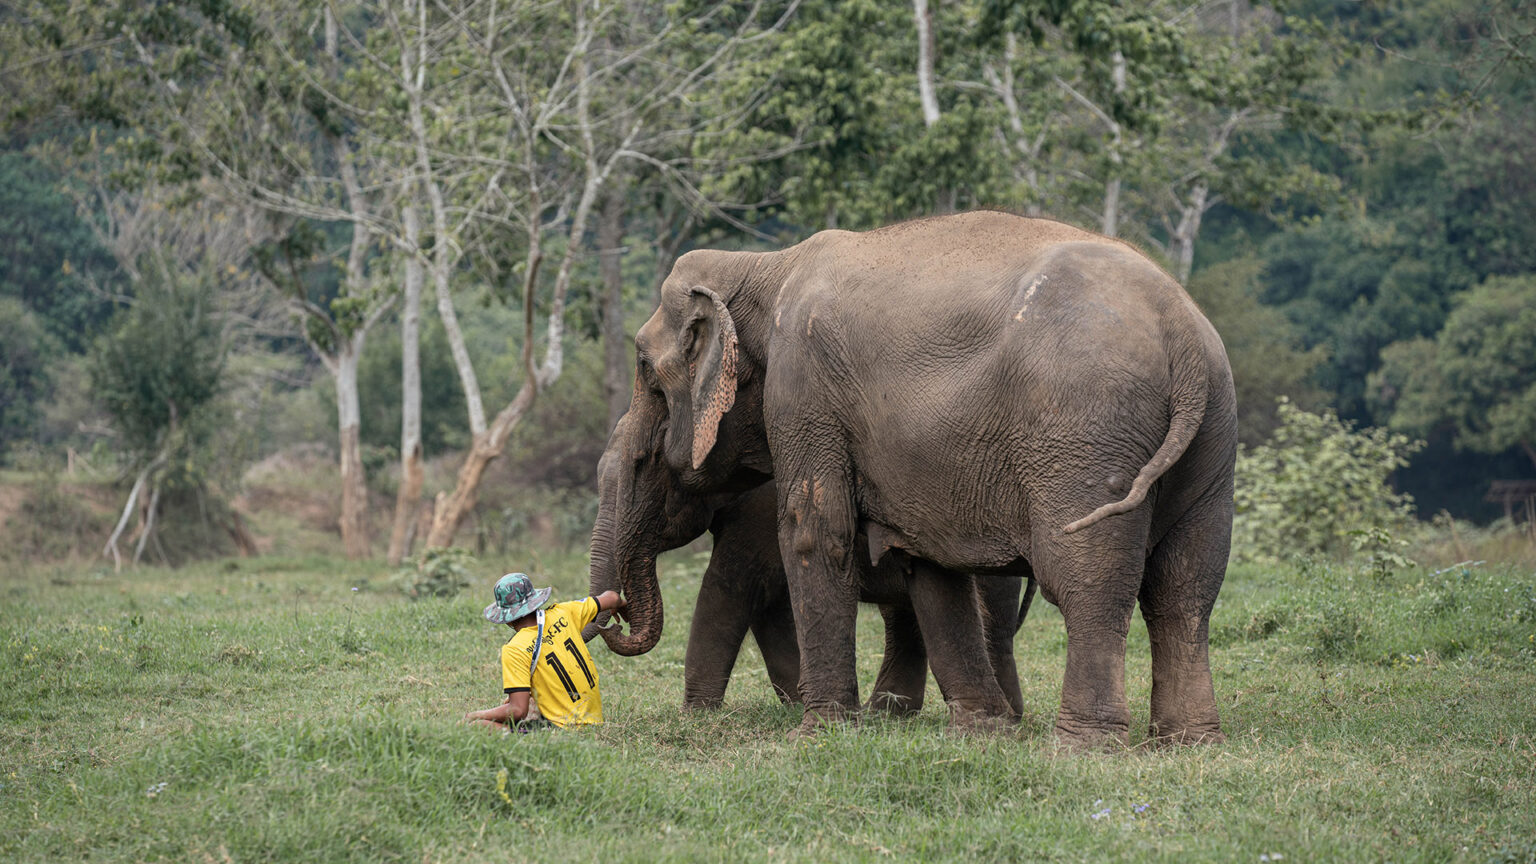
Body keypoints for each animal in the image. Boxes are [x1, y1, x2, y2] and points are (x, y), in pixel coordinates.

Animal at [585, 477, 1031, 713]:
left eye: (653, 488)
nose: (617, 610)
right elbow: (769, 607)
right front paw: (800, 702)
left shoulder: (762, 508)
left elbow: (730, 587)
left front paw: (696, 715)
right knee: (904, 618)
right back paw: (887, 713)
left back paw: (1010, 713)